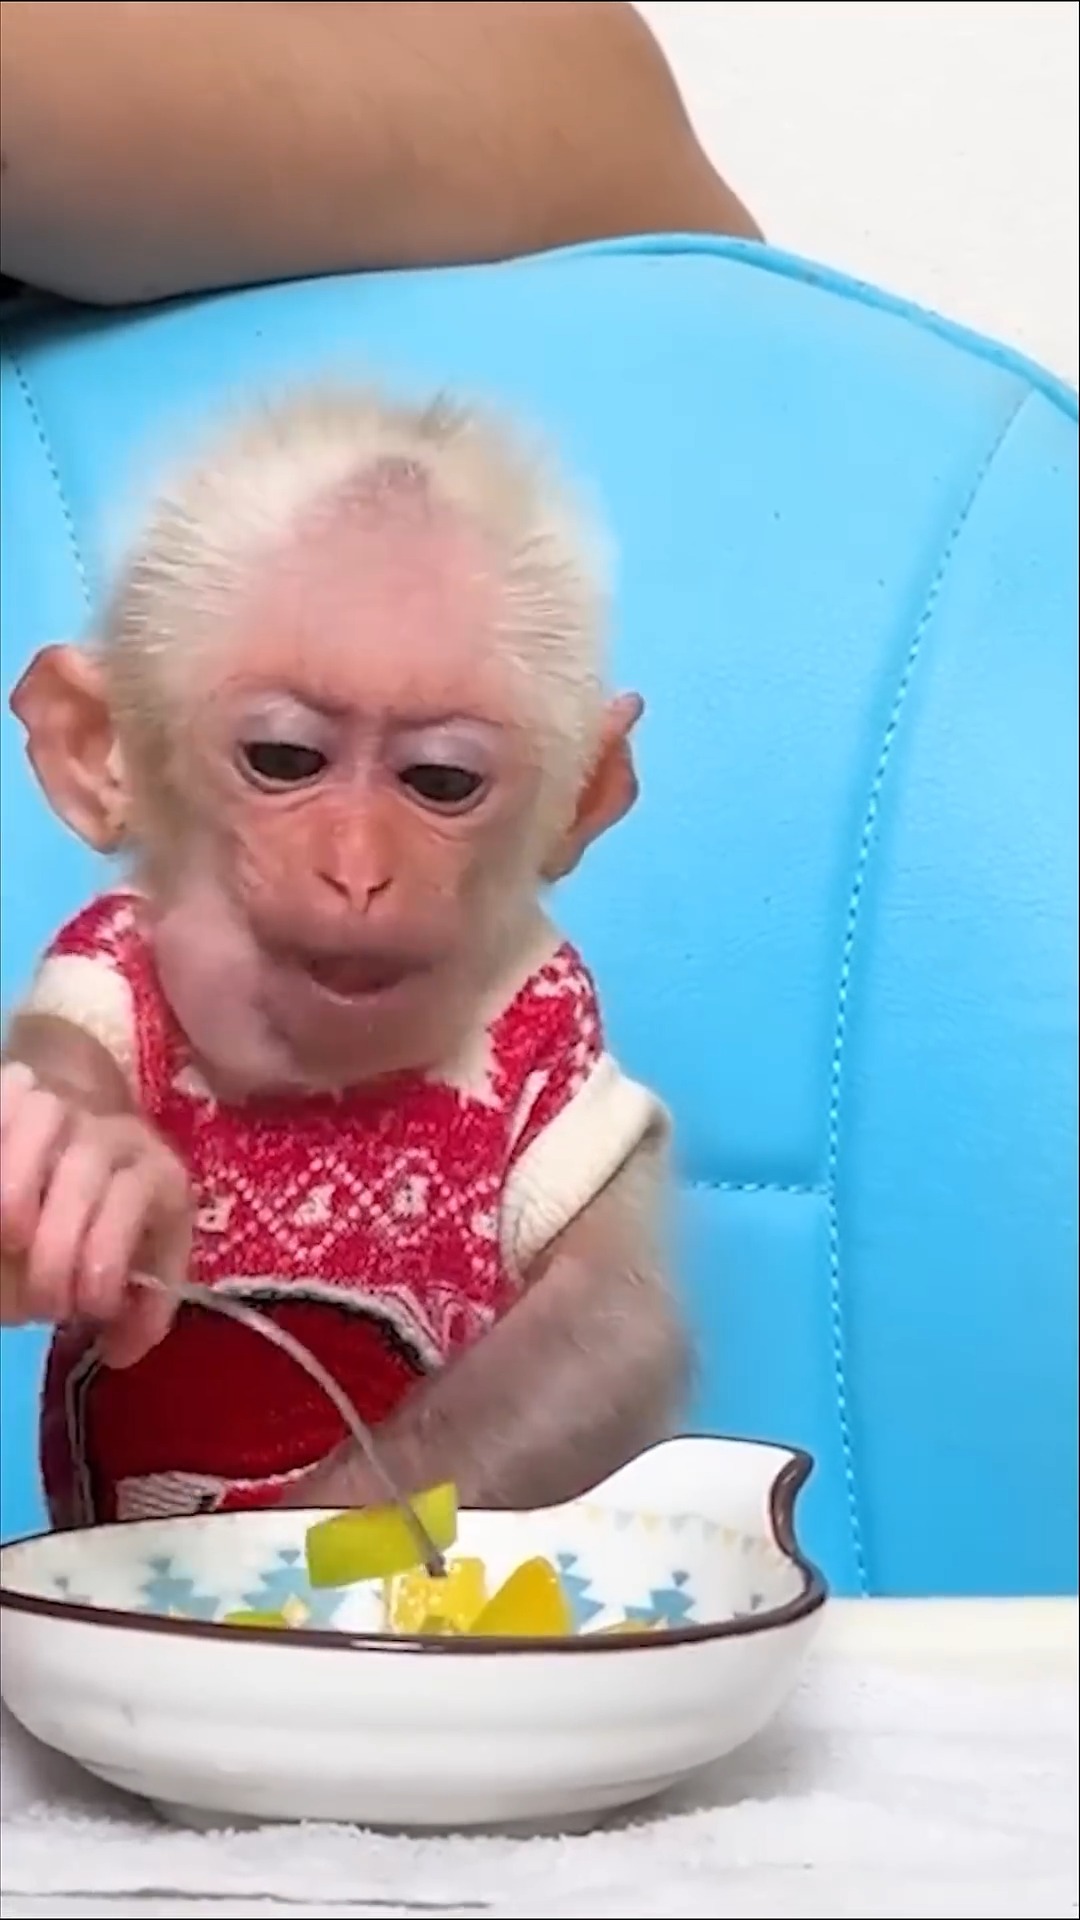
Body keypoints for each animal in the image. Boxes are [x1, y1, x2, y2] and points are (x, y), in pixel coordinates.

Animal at [0, 385, 691, 1529]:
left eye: (441, 784)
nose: (358, 872)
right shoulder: (98, 954)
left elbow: (605, 1332)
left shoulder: (559, 1010)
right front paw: (61, 1156)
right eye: (285, 761)